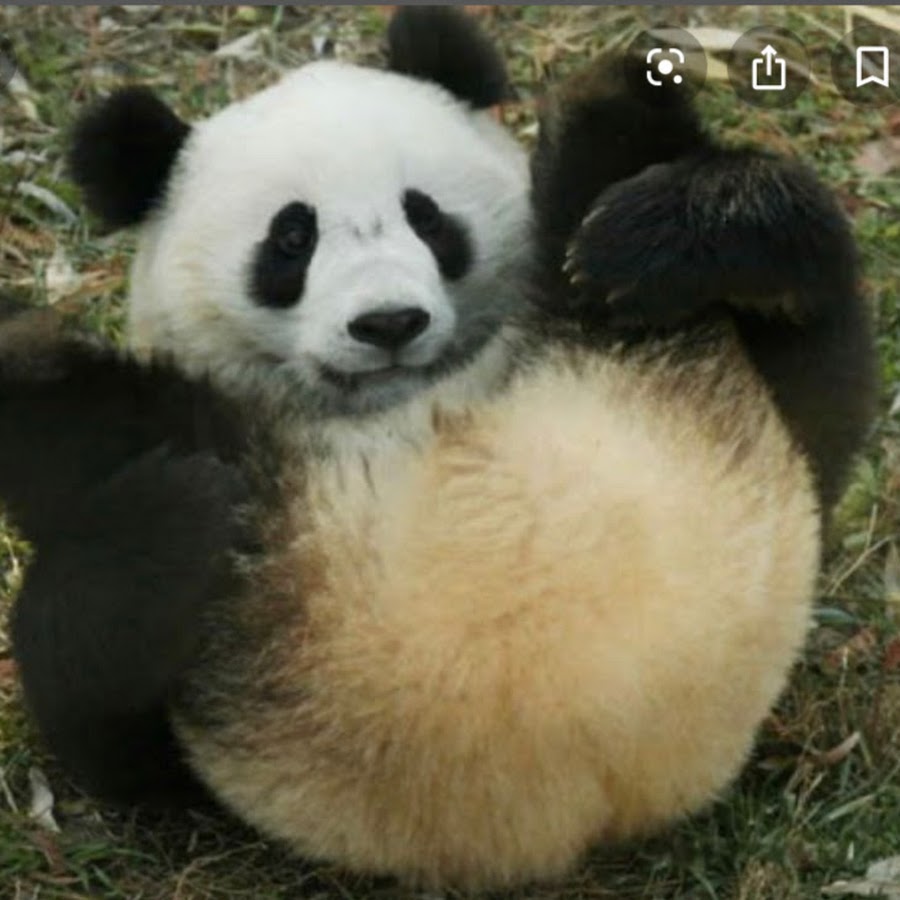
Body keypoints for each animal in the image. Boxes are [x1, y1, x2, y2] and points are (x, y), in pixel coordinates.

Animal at [0, 6, 877, 892]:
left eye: (426, 215)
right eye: (291, 238)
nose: (388, 322)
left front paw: (667, 226)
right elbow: (106, 731)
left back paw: (613, 134)